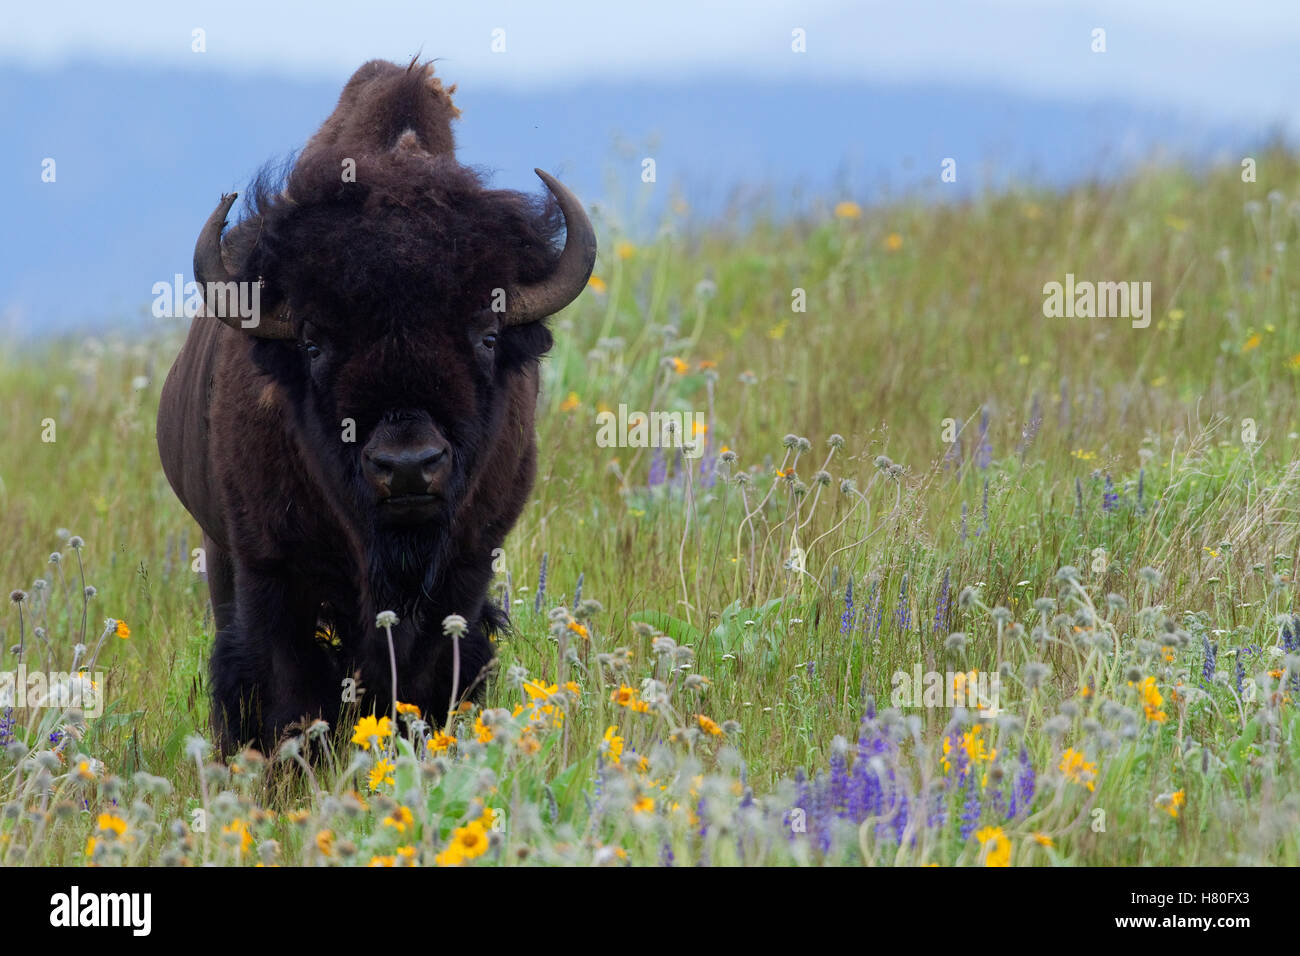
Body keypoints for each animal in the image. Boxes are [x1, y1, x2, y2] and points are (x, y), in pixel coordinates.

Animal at [156, 59, 596, 754]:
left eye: (487, 333)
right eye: (312, 342)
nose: (409, 467)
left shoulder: (467, 567)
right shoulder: (271, 570)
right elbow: (285, 688)